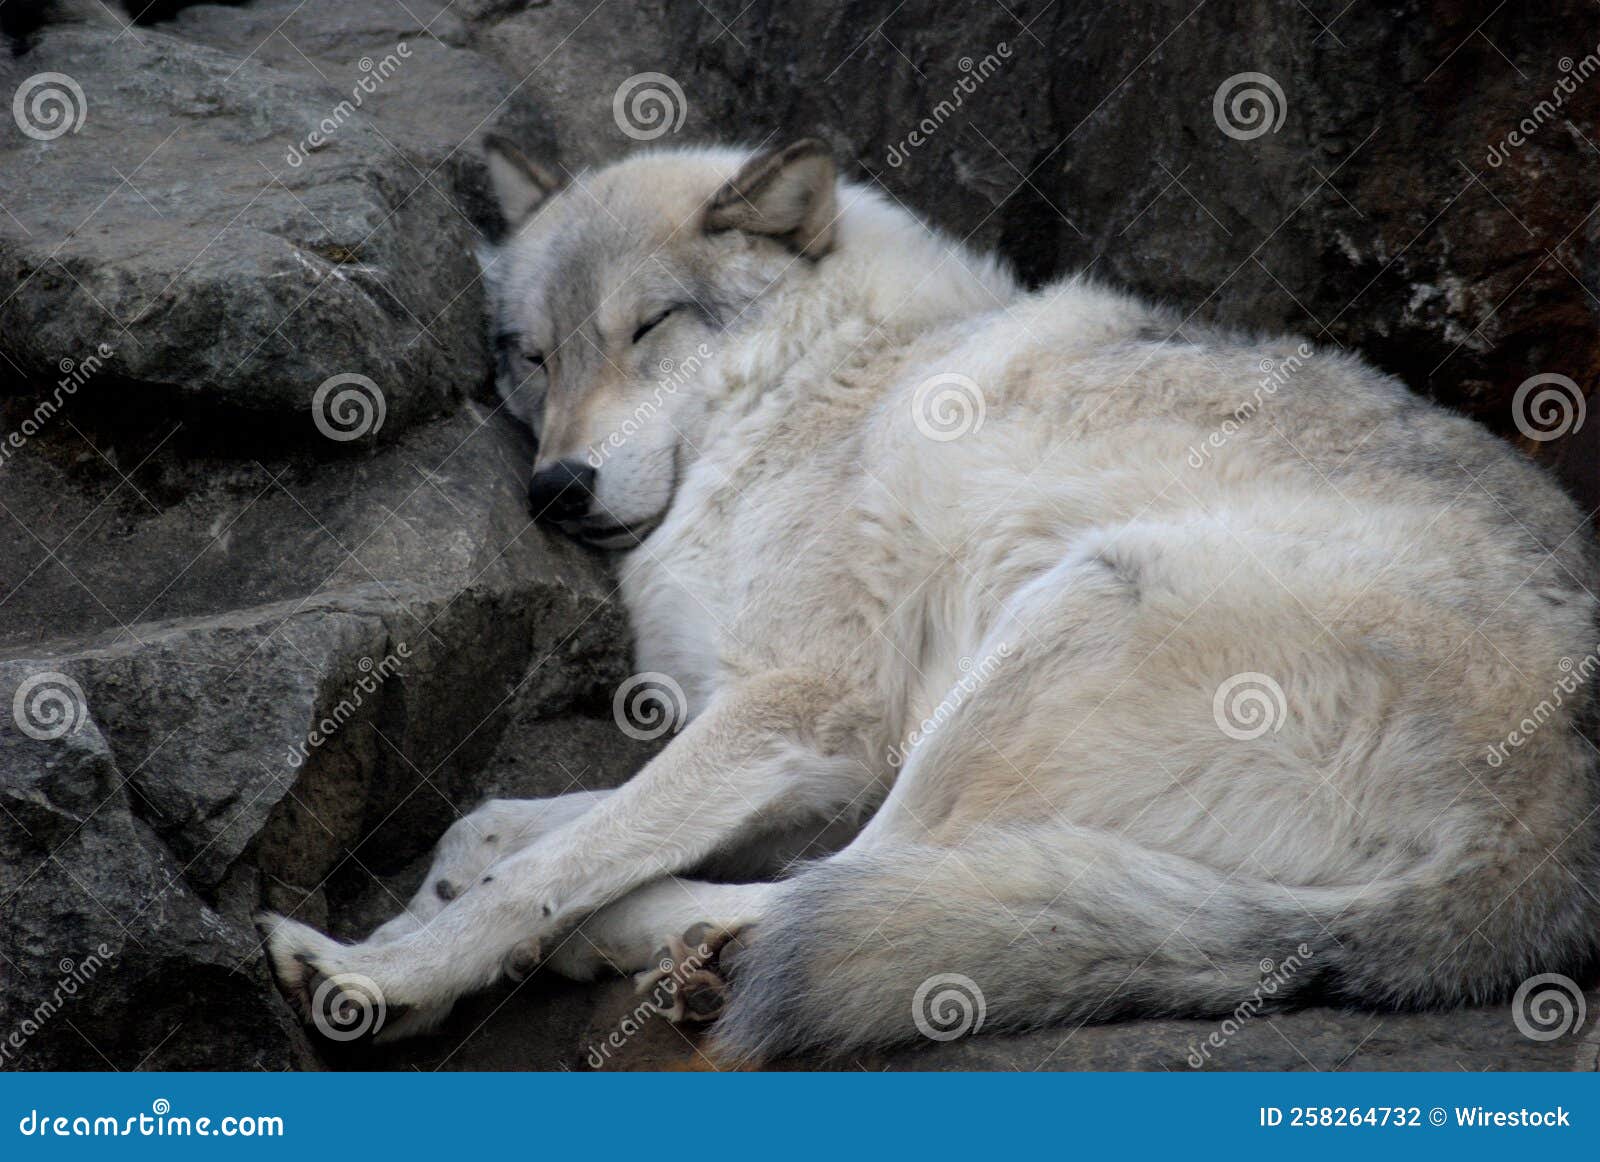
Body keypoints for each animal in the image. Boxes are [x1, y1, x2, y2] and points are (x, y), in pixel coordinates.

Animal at [264, 136, 1600, 1062]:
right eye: (530, 355)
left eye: (647, 328)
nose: (556, 488)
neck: (813, 383)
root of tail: (1548, 847)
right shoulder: (790, 744)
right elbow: (498, 827)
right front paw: (422, 914)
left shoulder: (808, 709)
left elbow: (555, 862)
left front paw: (383, 974)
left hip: (1061, 614)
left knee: (858, 884)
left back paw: (634, 945)